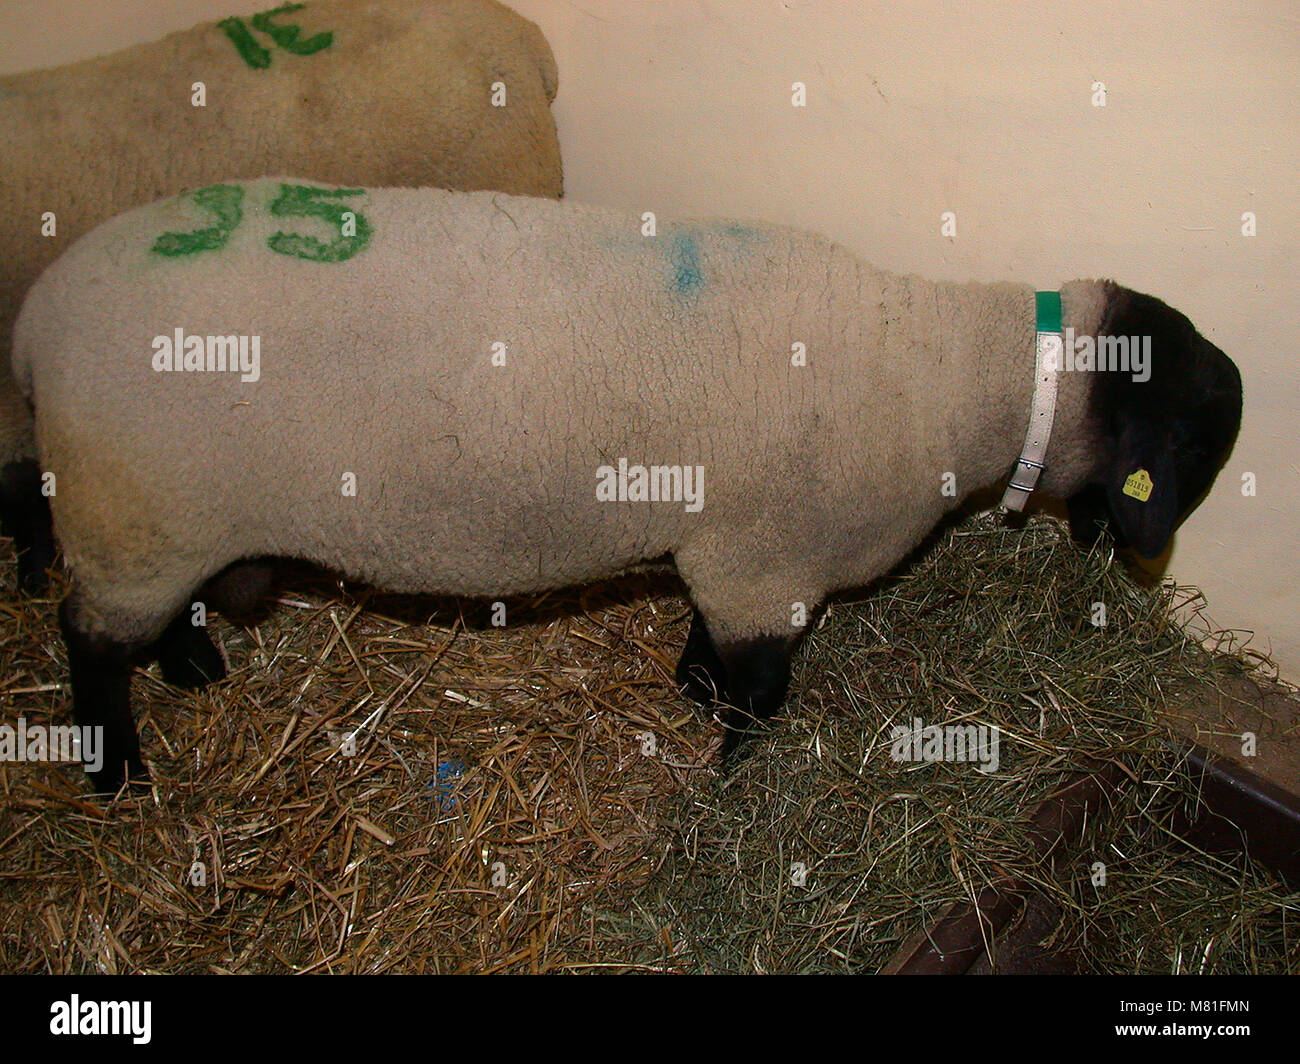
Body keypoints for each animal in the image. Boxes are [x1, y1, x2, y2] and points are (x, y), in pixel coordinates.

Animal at [11, 178, 1242, 793]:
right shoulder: (765, 560)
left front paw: (690, 695)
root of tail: (36, 323)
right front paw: (730, 778)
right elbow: (759, 690)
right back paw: (116, 769)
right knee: (88, 639)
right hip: (137, 510)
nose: (1147, 550)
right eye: (1189, 443)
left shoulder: (731, 546)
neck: (945, 377)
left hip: (170, 522)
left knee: (152, 618)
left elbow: (709, 646)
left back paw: (195, 667)